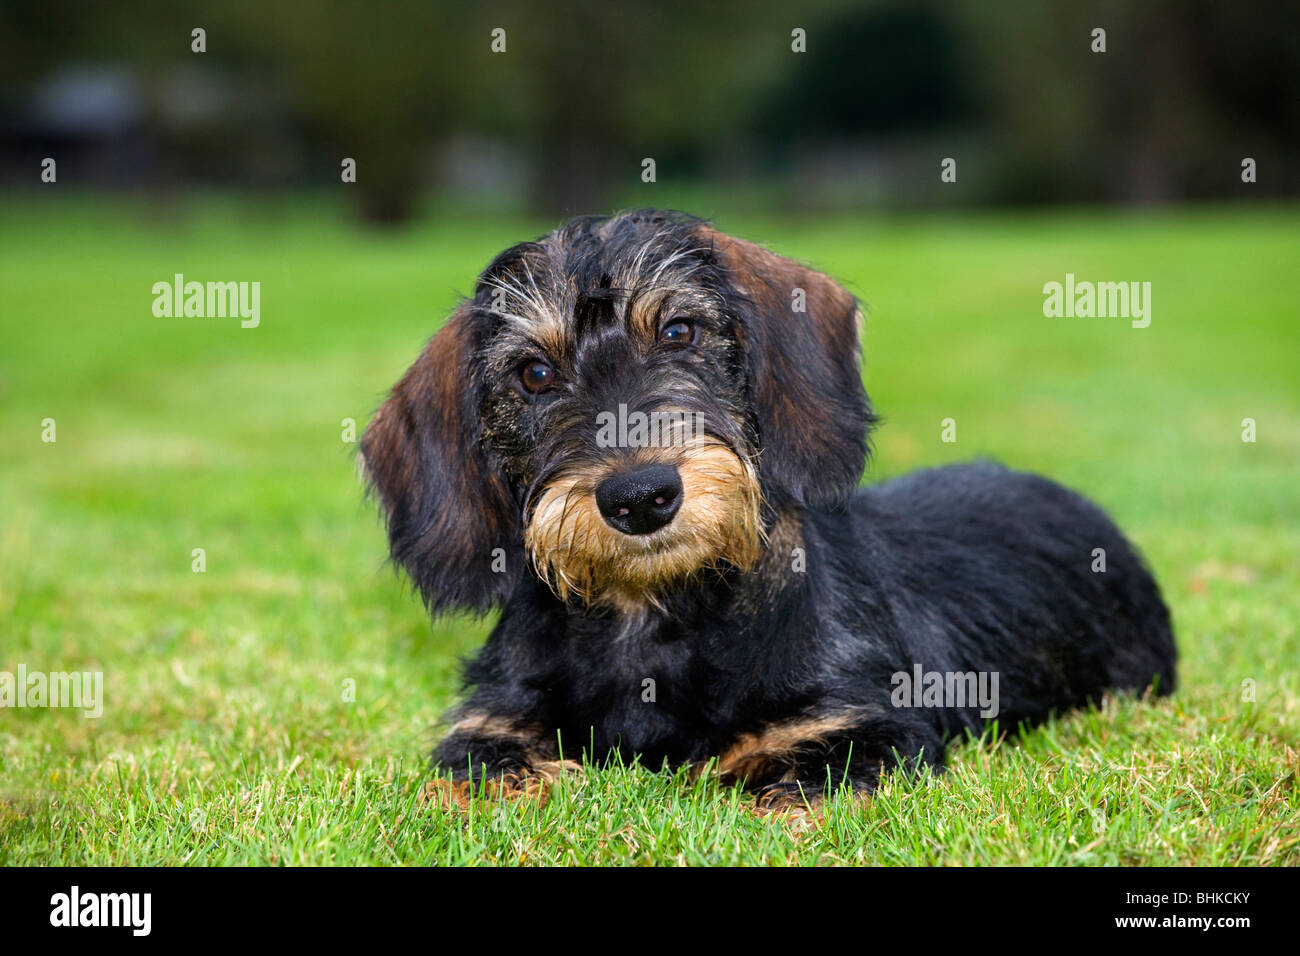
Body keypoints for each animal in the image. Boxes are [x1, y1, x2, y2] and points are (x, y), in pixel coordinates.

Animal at [358, 209, 1180, 806]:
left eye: (679, 330)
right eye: (533, 373)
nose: (640, 496)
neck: (654, 621)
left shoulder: (860, 732)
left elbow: (780, 793)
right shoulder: (487, 730)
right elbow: (484, 777)